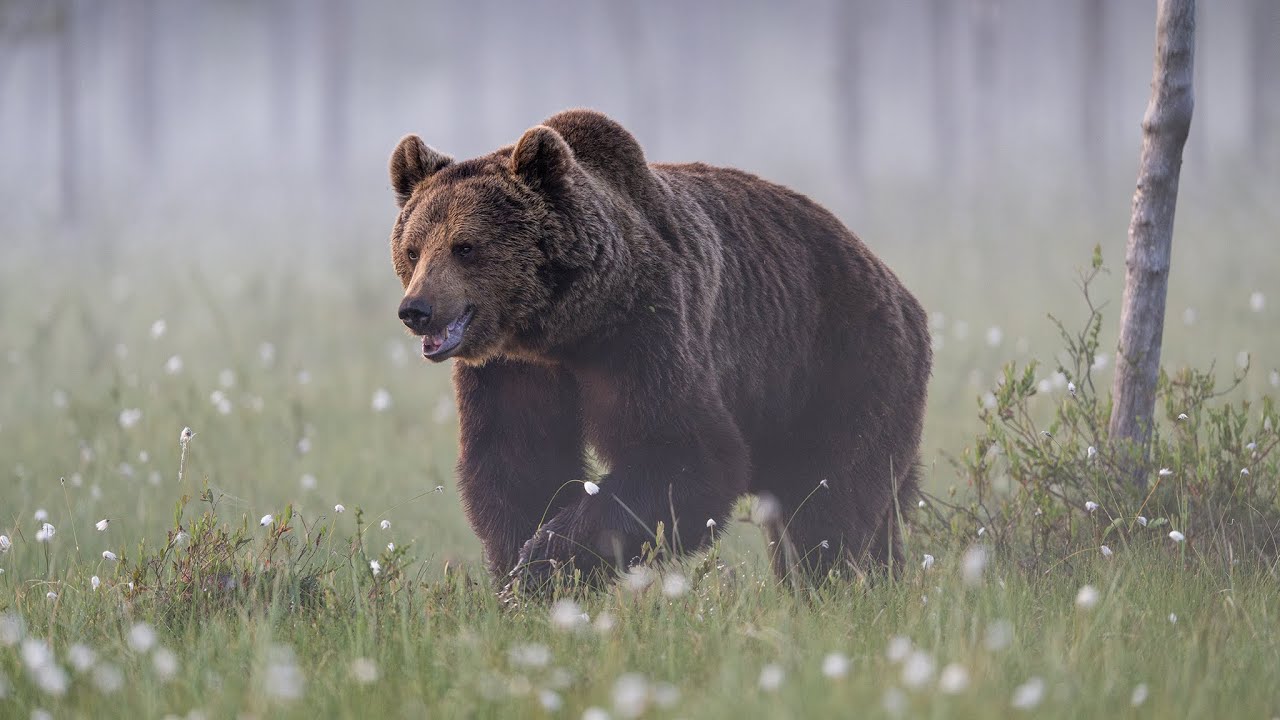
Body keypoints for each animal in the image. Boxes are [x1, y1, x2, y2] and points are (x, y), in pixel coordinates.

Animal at [385, 109, 931, 591]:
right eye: (413, 248)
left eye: (465, 246)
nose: (416, 309)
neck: (566, 328)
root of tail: (900, 289)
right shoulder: (512, 370)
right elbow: (517, 461)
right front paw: (521, 567)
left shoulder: (645, 332)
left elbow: (685, 455)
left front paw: (545, 562)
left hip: (842, 364)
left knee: (826, 501)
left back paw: (829, 585)